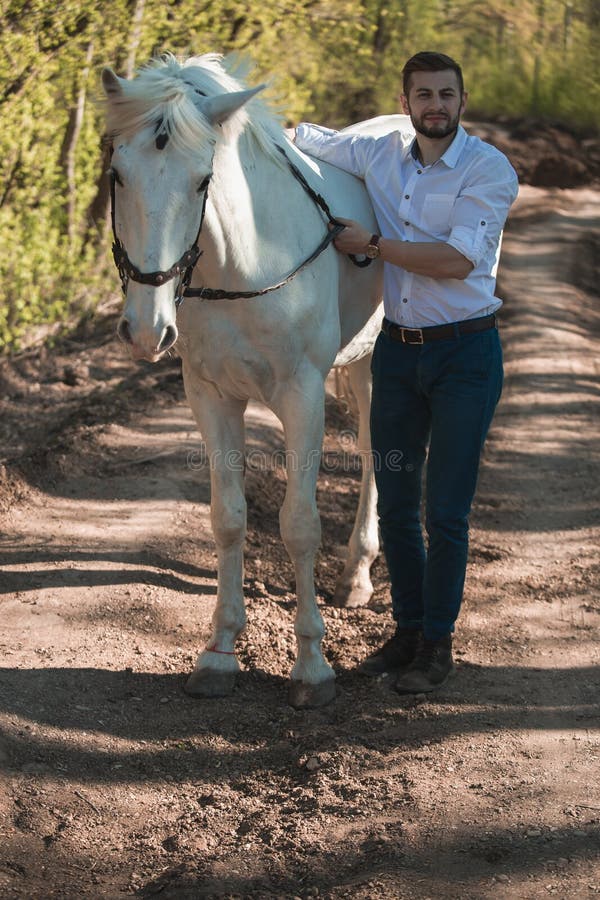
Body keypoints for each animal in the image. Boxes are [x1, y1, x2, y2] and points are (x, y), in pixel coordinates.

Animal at [101, 53, 400, 707]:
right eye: (118, 175)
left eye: (201, 181)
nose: (145, 329)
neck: (245, 264)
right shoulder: (210, 397)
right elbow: (229, 518)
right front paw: (218, 652)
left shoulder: (302, 396)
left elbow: (299, 525)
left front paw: (312, 666)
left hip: (373, 362)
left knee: (375, 450)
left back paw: (358, 575)